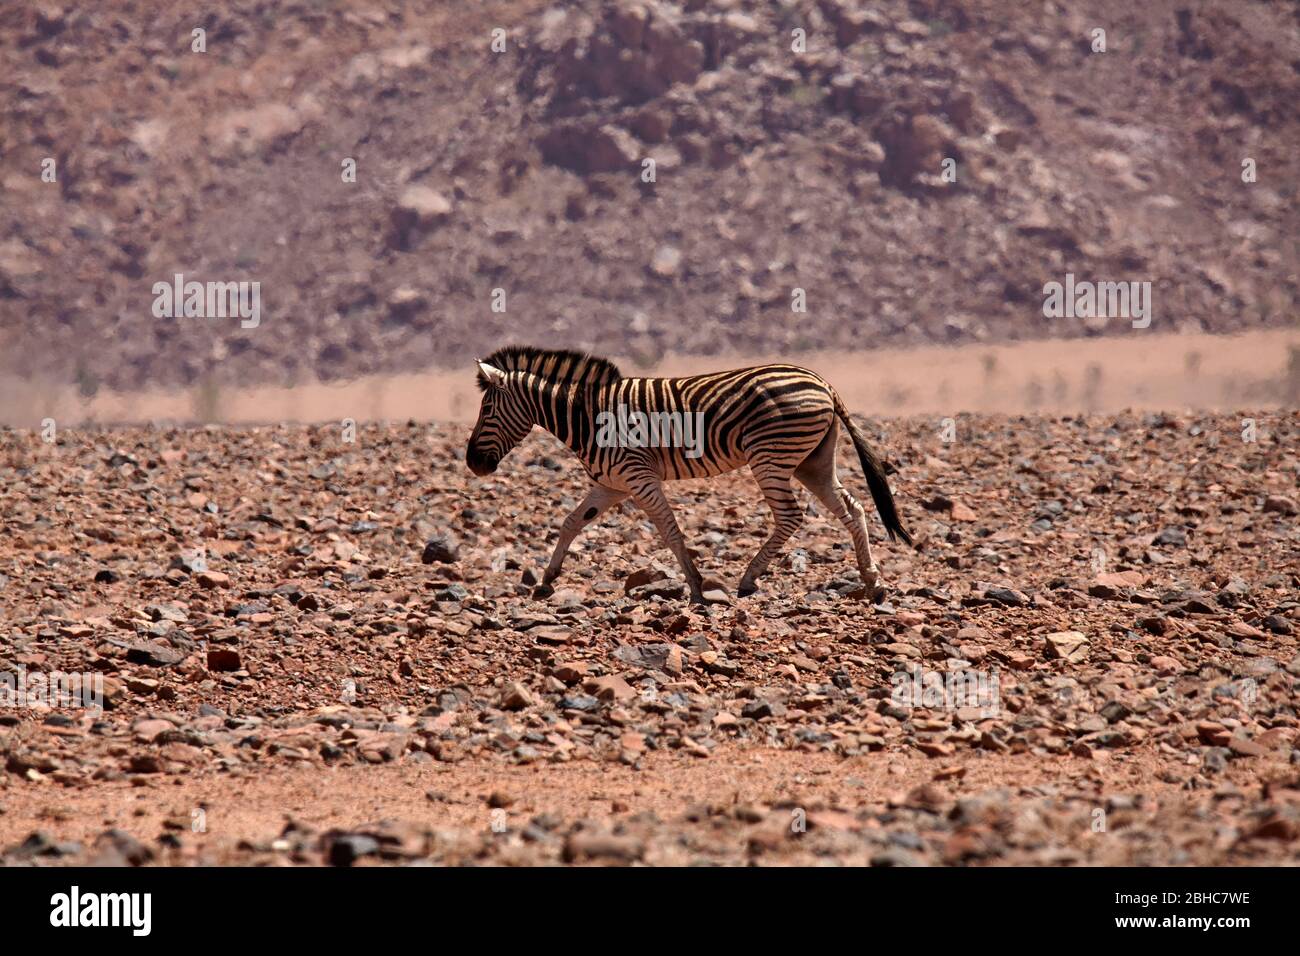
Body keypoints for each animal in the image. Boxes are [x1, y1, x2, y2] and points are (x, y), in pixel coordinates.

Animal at [465, 346, 914, 604]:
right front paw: (547, 579)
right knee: (852, 509)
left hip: (770, 456)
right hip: (812, 461)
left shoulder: (638, 477)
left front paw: (697, 587)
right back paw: (872, 581)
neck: (586, 417)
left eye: (486, 410)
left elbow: (670, 530)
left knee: (790, 516)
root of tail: (823, 383)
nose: (473, 464)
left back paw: (749, 578)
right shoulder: (611, 484)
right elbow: (572, 522)